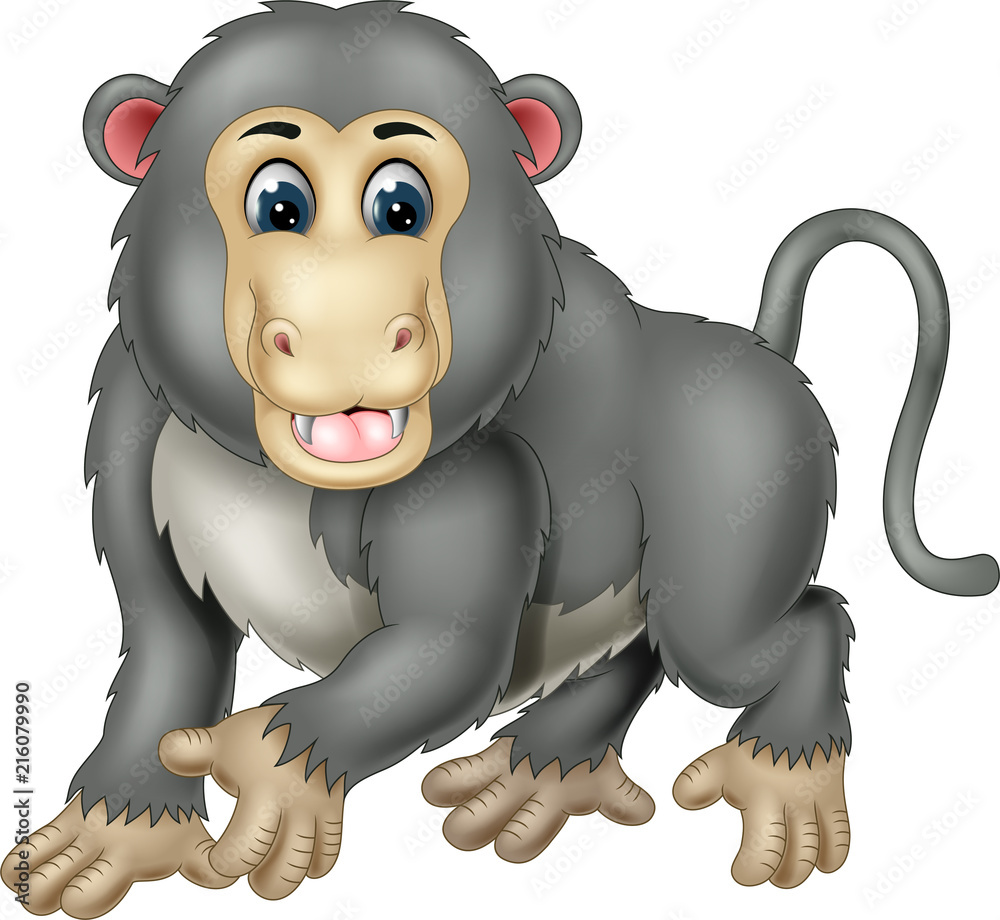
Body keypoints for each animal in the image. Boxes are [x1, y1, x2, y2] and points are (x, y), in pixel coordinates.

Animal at [2, 1, 997, 916]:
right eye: (278, 206)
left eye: (400, 207)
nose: (348, 335)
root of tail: (761, 351)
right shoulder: (128, 430)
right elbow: (167, 644)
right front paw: (117, 830)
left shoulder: (479, 475)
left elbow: (443, 650)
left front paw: (270, 763)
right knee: (638, 650)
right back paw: (541, 771)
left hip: (747, 483)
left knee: (754, 633)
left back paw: (780, 765)